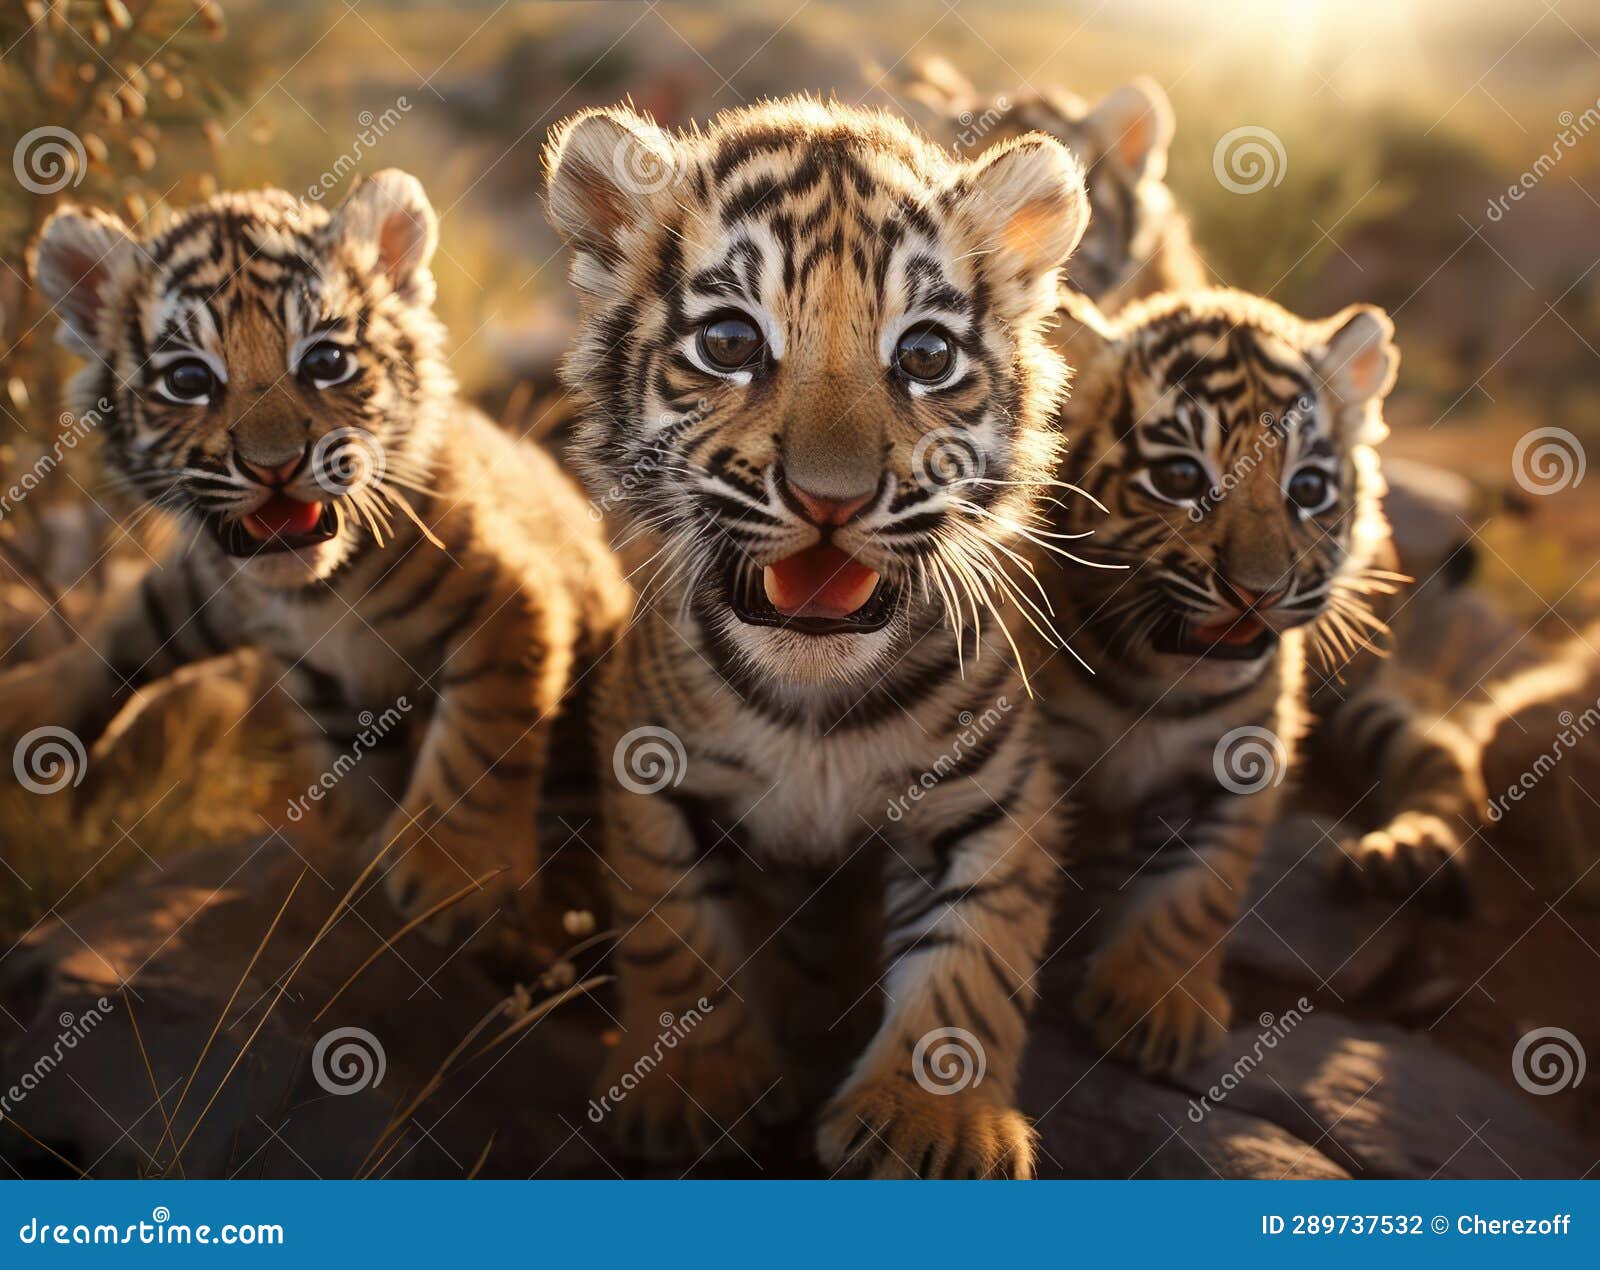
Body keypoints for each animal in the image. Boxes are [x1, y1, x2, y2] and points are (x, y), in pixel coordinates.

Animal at [8, 170, 630, 932]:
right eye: (188, 381)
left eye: (326, 361)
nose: (274, 466)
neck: (310, 594)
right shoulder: (227, 598)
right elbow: (125, 627)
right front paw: (25, 715)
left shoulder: (514, 599)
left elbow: (480, 742)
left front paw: (453, 877)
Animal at [543, 97, 1089, 1178]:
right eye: (728, 341)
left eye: (924, 356)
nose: (830, 500)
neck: (812, 705)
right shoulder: (646, 764)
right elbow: (675, 927)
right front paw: (693, 1090)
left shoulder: (995, 796)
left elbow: (973, 960)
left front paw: (932, 1126)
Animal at [1031, 287, 1484, 1075]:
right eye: (1181, 478)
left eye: (1309, 488)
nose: (1259, 592)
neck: (1159, 681)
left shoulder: (1241, 764)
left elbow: (1196, 891)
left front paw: (1158, 1007)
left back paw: (1408, 851)